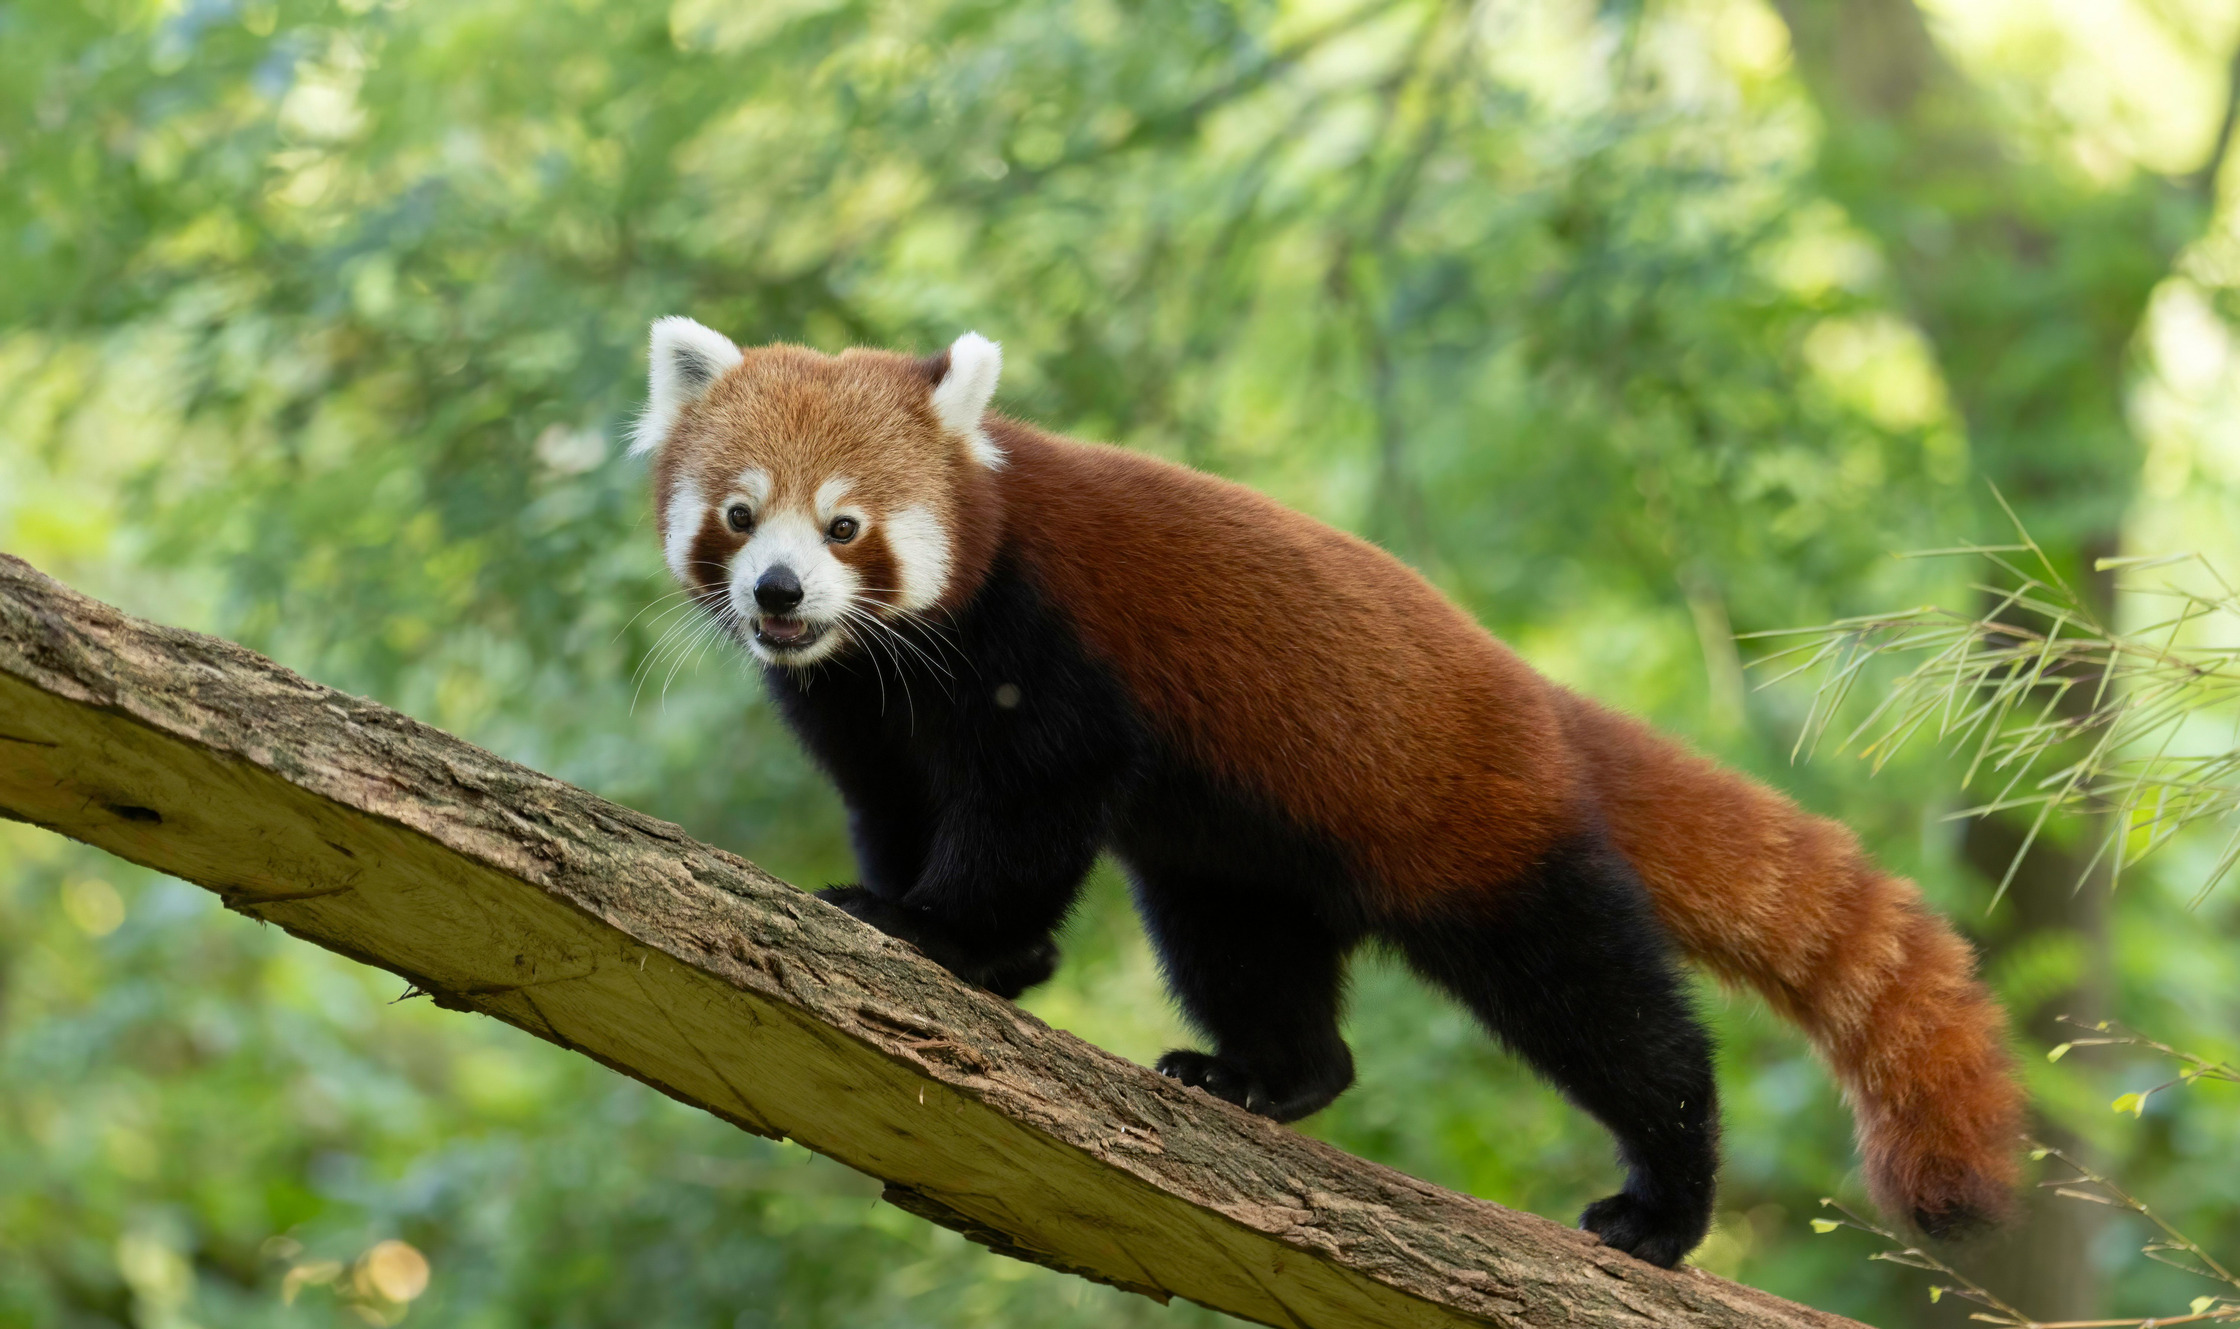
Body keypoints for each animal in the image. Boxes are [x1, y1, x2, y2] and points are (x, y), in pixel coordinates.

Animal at [631, 318, 2022, 1267]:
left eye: (845, 525)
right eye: (741, 516)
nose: (779, 594)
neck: (897, 656)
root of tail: (1534, 701)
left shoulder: (1047, 650)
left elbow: (1036, 801)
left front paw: (948, 934)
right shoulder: (856, 709)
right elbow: (897, 806)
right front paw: (934, 921)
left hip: (1472, 834)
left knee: (1606, 1011)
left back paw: (1663, 1201)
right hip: (1241, 859)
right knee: (1245, 956)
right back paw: (1268, 1077)